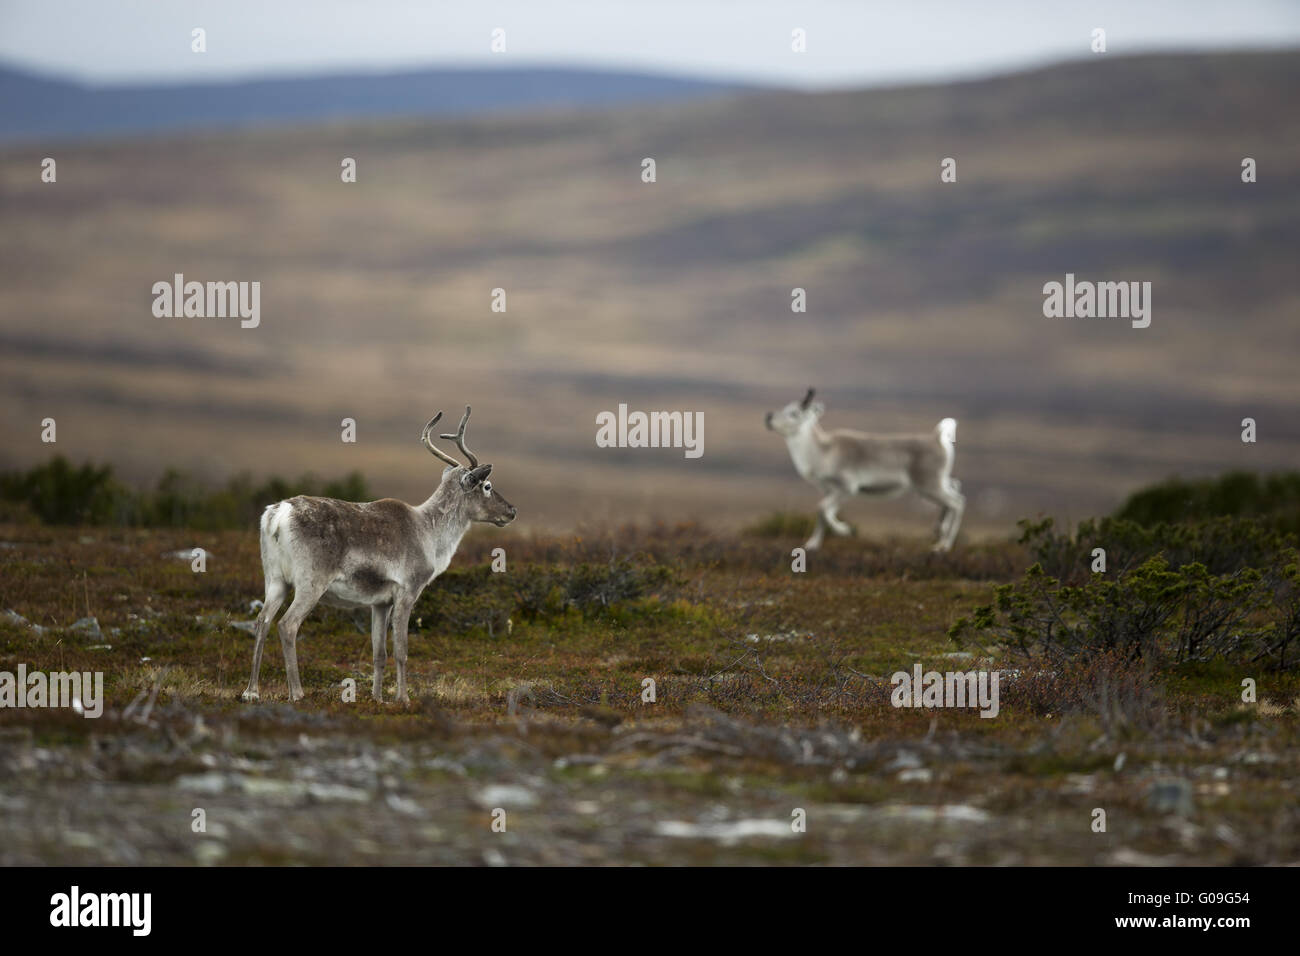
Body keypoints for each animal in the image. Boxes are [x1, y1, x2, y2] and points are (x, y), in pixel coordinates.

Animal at [240, 406, 516, 704]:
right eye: (487, 486)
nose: (512, 510)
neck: (430, 534)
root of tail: (276, 515)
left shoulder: (380, 603)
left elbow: (379, 653)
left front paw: (377, 698)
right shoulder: (407, 591)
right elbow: (401, 651)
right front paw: (403, 699)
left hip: (275, 579)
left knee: (262, 621)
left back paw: (251, 691)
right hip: (310, 582)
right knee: (287, 625)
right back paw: (297, 693)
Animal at [765, 388, 964, 552]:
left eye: (794, 413)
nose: (768, 417)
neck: (822, 452)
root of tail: (938, 438)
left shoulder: (847, 487)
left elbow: (822, 509)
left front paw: (845, 530)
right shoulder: (830, 490)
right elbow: (824, 513)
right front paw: (813, 544)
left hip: (928, 485)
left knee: (957, 502)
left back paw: (944, 545)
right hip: (937, 482)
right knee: (955, 487)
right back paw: (939, 529)